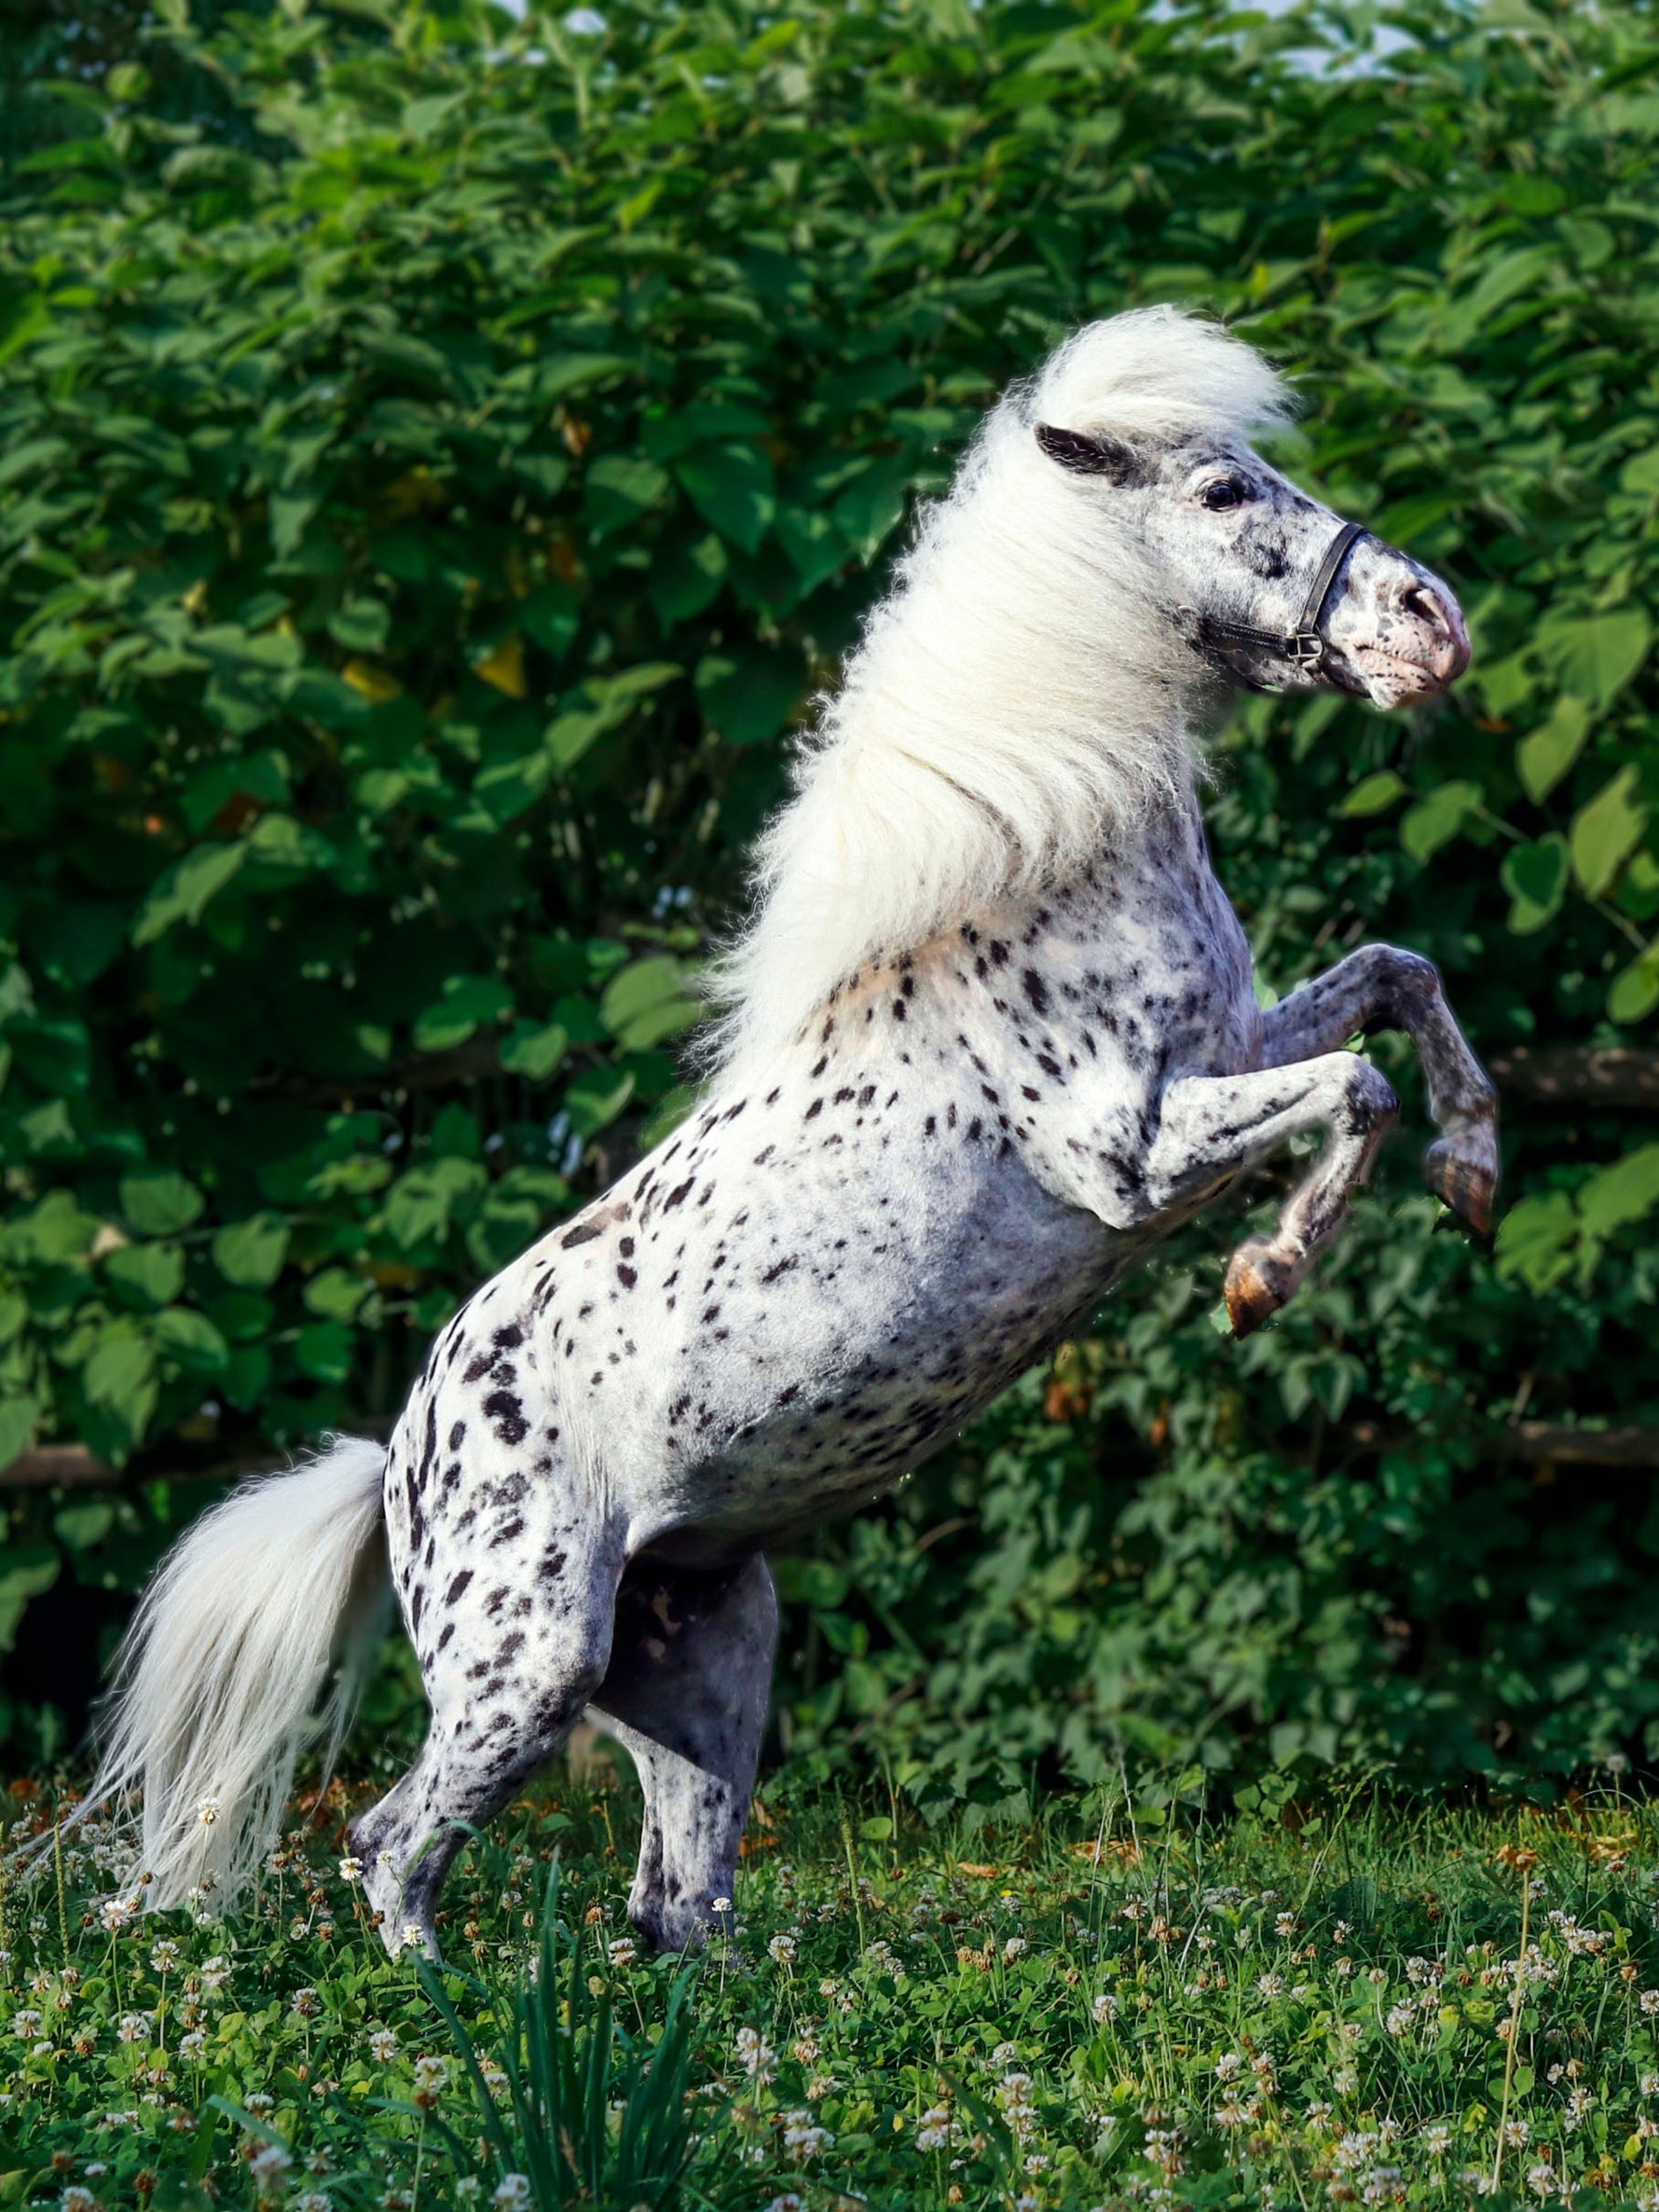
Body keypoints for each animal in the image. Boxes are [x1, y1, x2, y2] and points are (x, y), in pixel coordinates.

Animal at [87, 307, 1496, 1956]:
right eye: (1220, 491)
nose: (1433, 618)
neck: (1031, 871)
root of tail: (399, 1459)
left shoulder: (1234, 1046)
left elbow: (1403, 979)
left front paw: (1475, 1178)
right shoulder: (1131, 1156)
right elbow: (1360, 1087)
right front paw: (1264, 1278)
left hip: (699, 1674)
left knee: (671, 1906)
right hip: (523, 1673)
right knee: (389, 1847)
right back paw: (444, 2010)